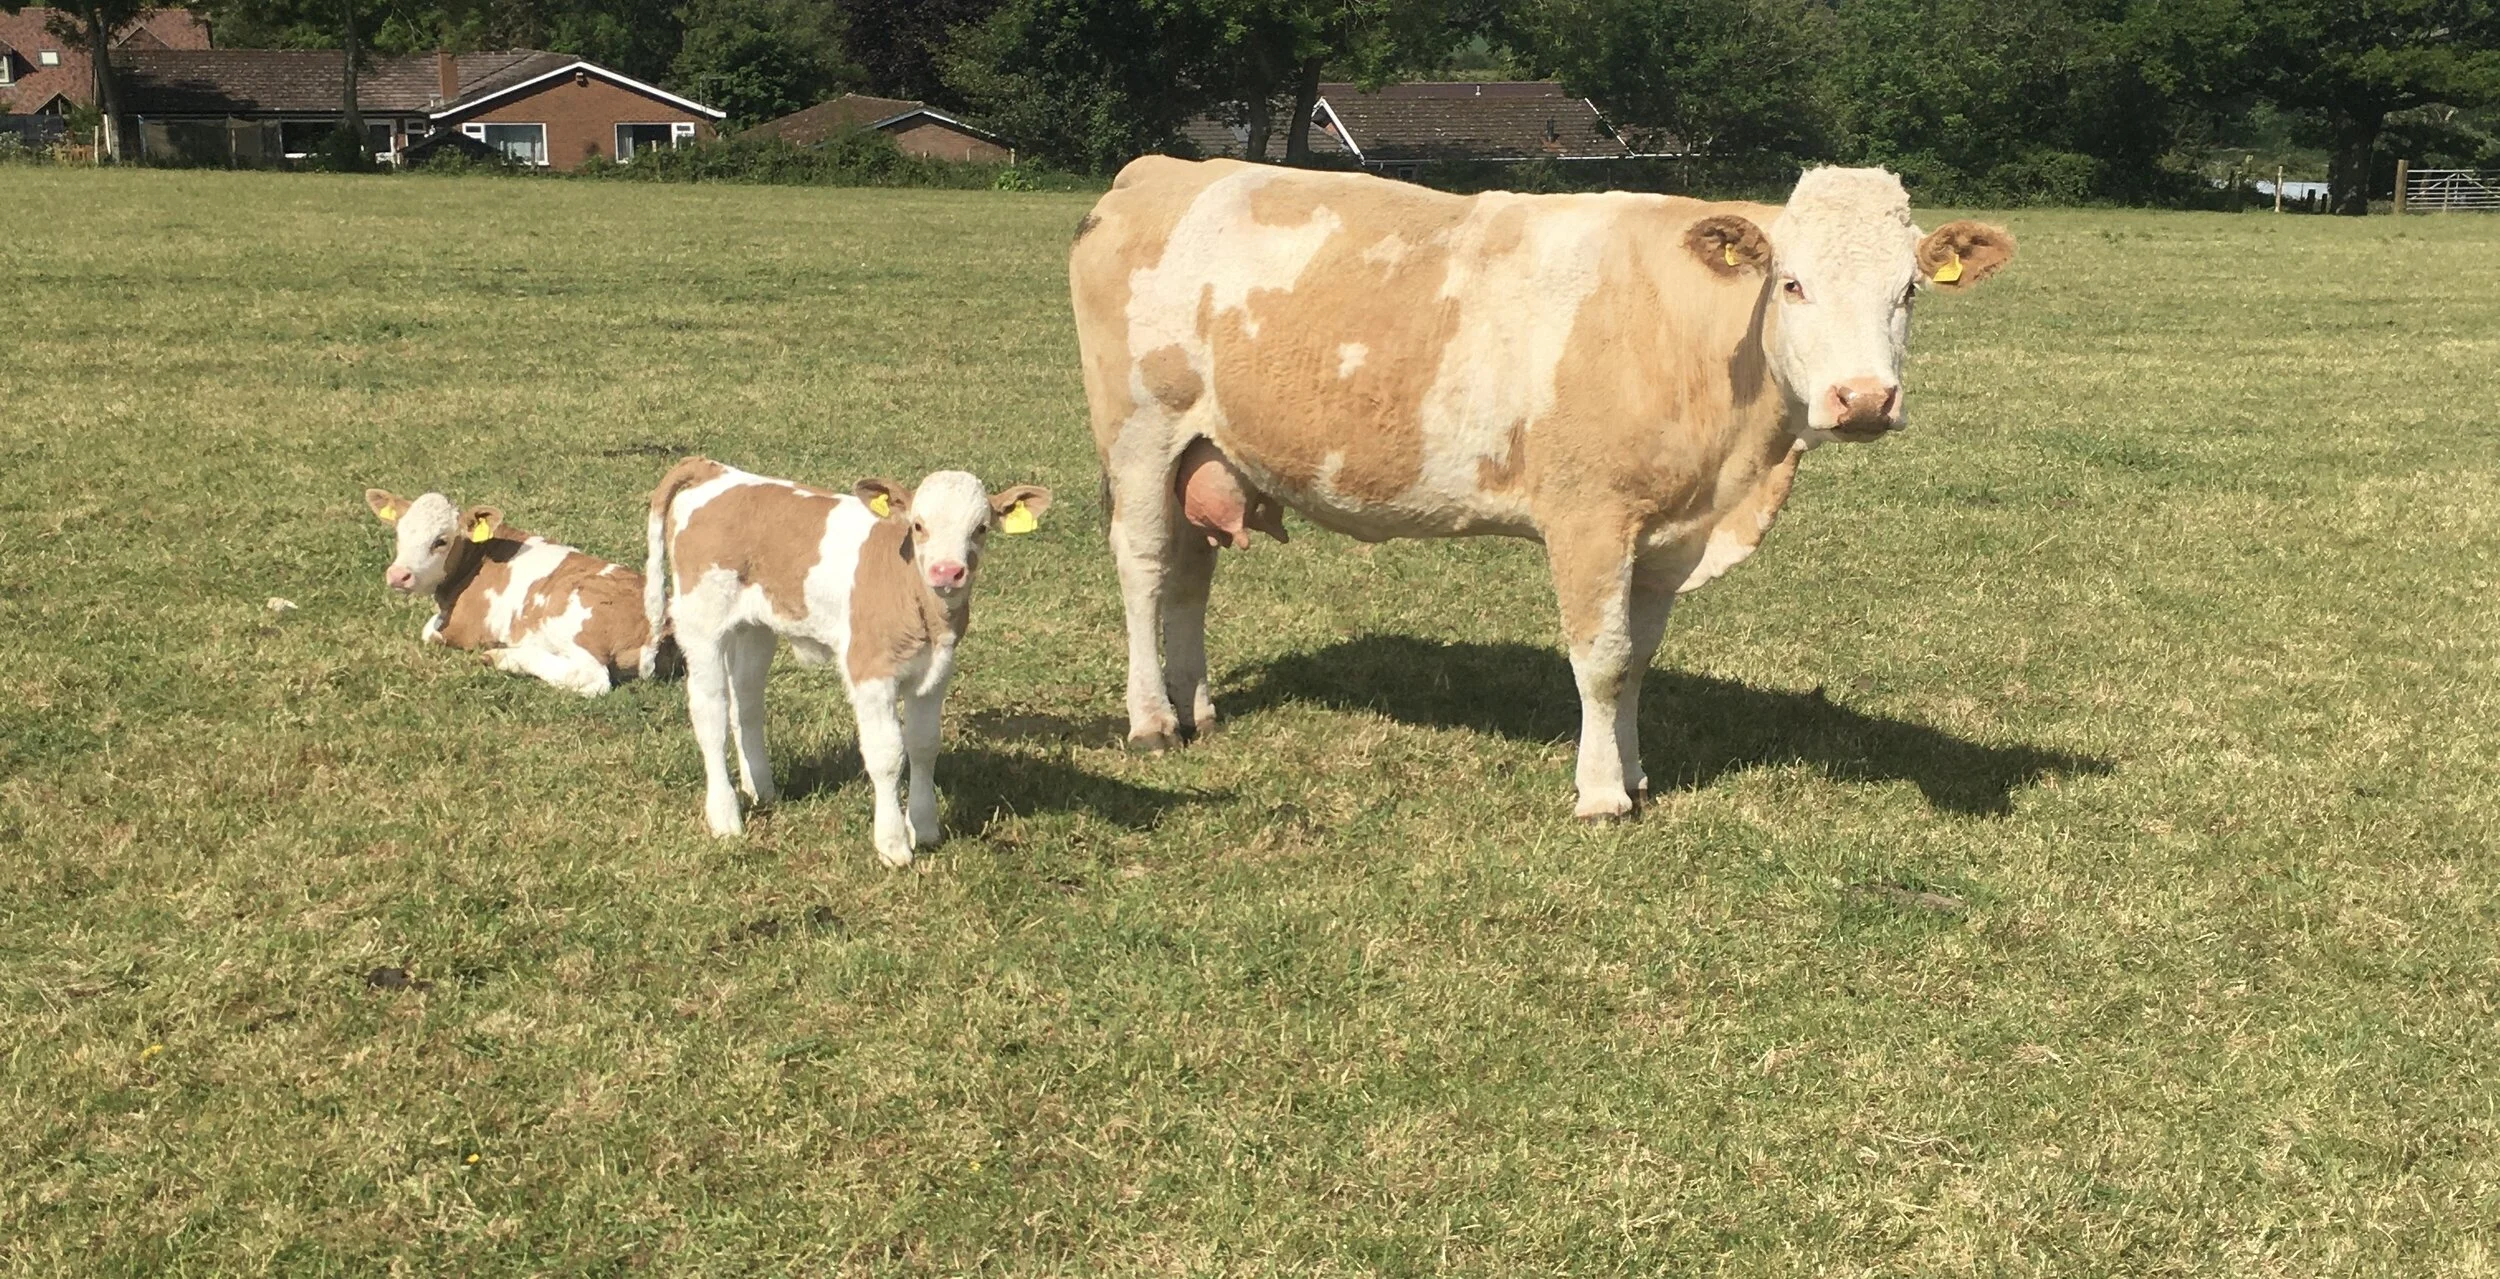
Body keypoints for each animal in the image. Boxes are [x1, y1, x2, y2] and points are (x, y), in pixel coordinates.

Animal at [363, 488, 674, 696]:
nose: (398, 575)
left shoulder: (465, 628)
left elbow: (429, 631)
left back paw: (503, 656)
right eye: (399, 533)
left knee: (590, 677)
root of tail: (661, 621)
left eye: (440, 541)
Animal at [644, 457, 1052, 866]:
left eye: (980, 528)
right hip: (701, 622)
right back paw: (725, 817)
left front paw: (925, 828)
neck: (917, 599)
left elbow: (924, 745)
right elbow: (887, 754)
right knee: (710, 712)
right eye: (918, 525)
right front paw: (893, 845)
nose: (947, 571)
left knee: (745, 703)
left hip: (755, 627)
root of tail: (716, 470)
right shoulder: (869, 669)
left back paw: (761, 789)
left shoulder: (937, 671)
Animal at [1067, 159, 2014, 818]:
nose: (1864, 399)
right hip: (1141, 432)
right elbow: (1599, 659)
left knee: (1191, 578)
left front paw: (1636, 772)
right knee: (1145, 568)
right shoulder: (1589, 516)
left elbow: (1637, 660)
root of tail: (1161, 169)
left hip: (1206, 450)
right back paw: (1151, 719)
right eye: (1793, 283)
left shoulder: (1664, 536)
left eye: (1909, 290)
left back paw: (1198, 708)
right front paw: (1600, 793)